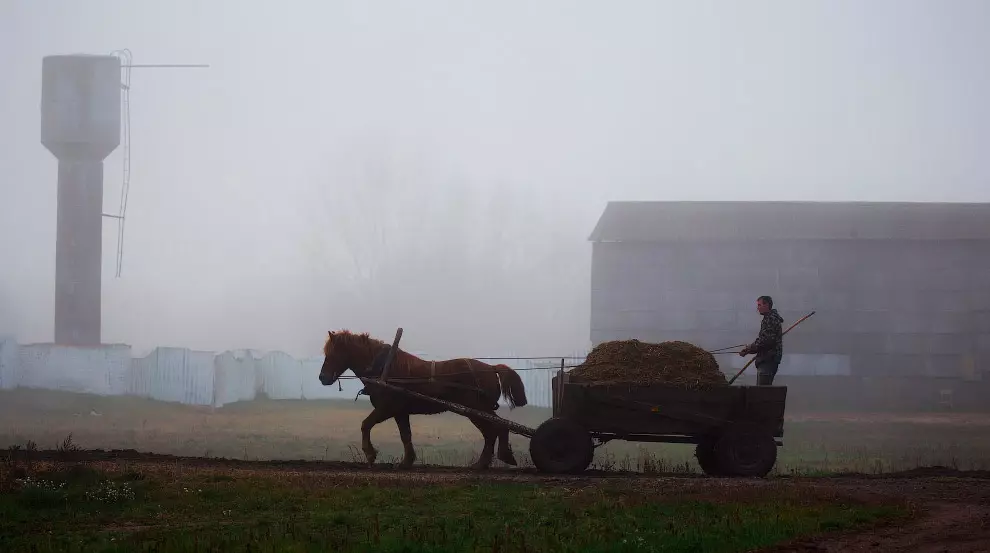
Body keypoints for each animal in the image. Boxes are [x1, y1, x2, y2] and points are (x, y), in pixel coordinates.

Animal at [322, 330, 532, 468]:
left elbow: (365, 425)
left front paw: (370, 454)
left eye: (333, 353)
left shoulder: (387, 409)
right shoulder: (400, 412)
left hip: (477, 409)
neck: (385, 369)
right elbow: (405, 435)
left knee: (494, 430)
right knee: (495, 430)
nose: (322, 377)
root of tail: (491, 368)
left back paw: (487, 461)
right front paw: (407, 461)